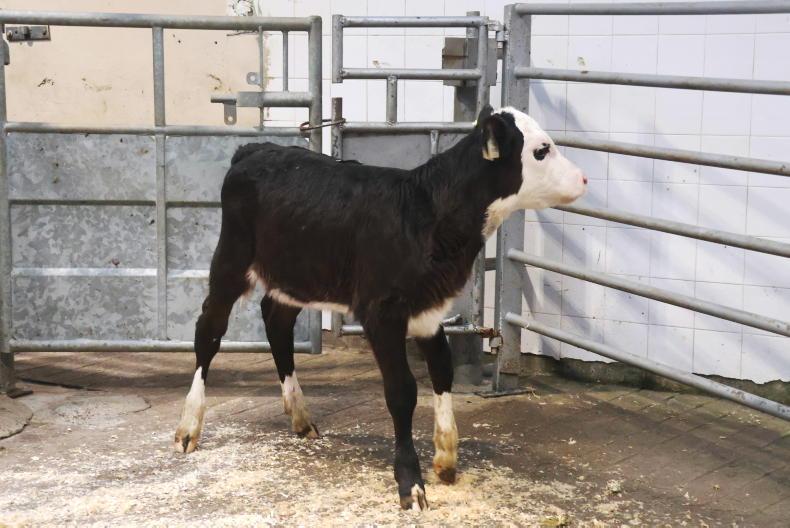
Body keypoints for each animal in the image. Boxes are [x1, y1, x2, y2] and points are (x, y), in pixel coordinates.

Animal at [173, 105, 586, 510]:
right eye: (541, 150)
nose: (584, 179)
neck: (429, 213)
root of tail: (256, 149)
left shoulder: (428, 310)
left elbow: (442, 371)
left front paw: (446, 458)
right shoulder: (382, 313)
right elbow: (402, 392)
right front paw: (411, 483)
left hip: (297, 275)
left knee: (276, 321)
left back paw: (300, 416)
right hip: (230, 261)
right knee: (208, 331)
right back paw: (189, 426)